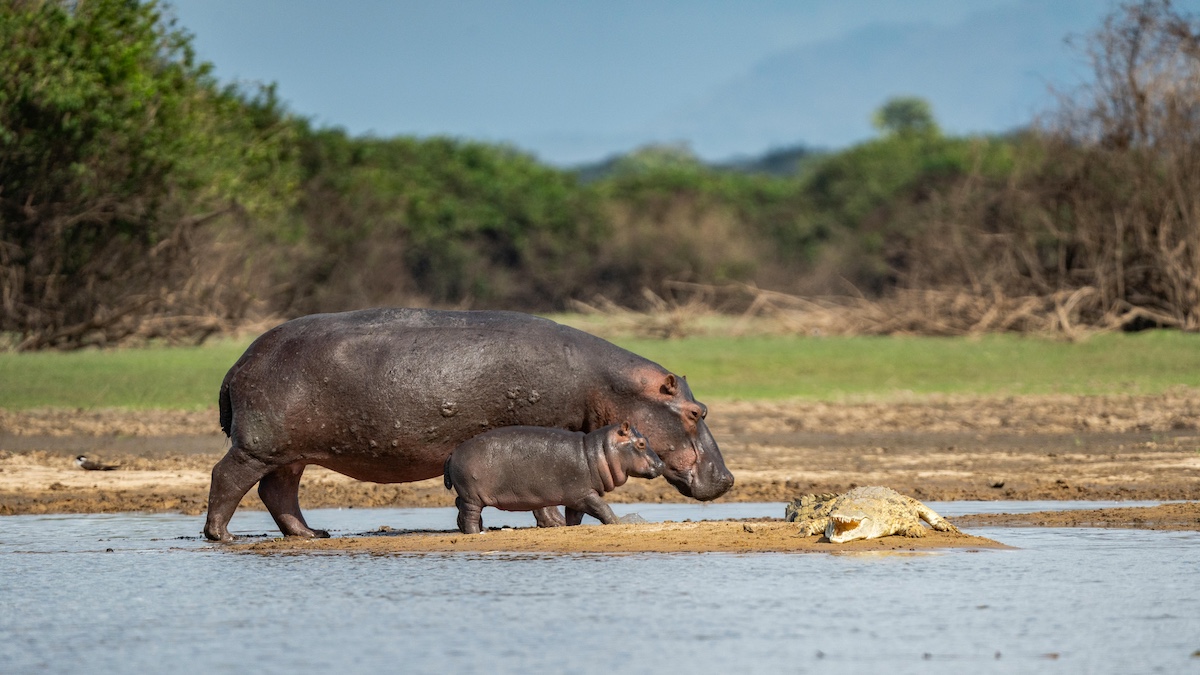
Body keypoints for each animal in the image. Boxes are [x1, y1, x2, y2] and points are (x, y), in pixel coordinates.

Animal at [444, 422, 664, 534]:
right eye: (641, 443)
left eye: (647, 438)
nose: (661, 464)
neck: (597, 452)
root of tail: (452, 454)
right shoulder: (584, 494)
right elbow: (603, 508)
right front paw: (617, 522)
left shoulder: (577, 497)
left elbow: (575, 516)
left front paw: (570, 527)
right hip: (472, 496)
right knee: (470, 513)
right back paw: (475, 531)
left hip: (466, 494)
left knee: (459, 505)